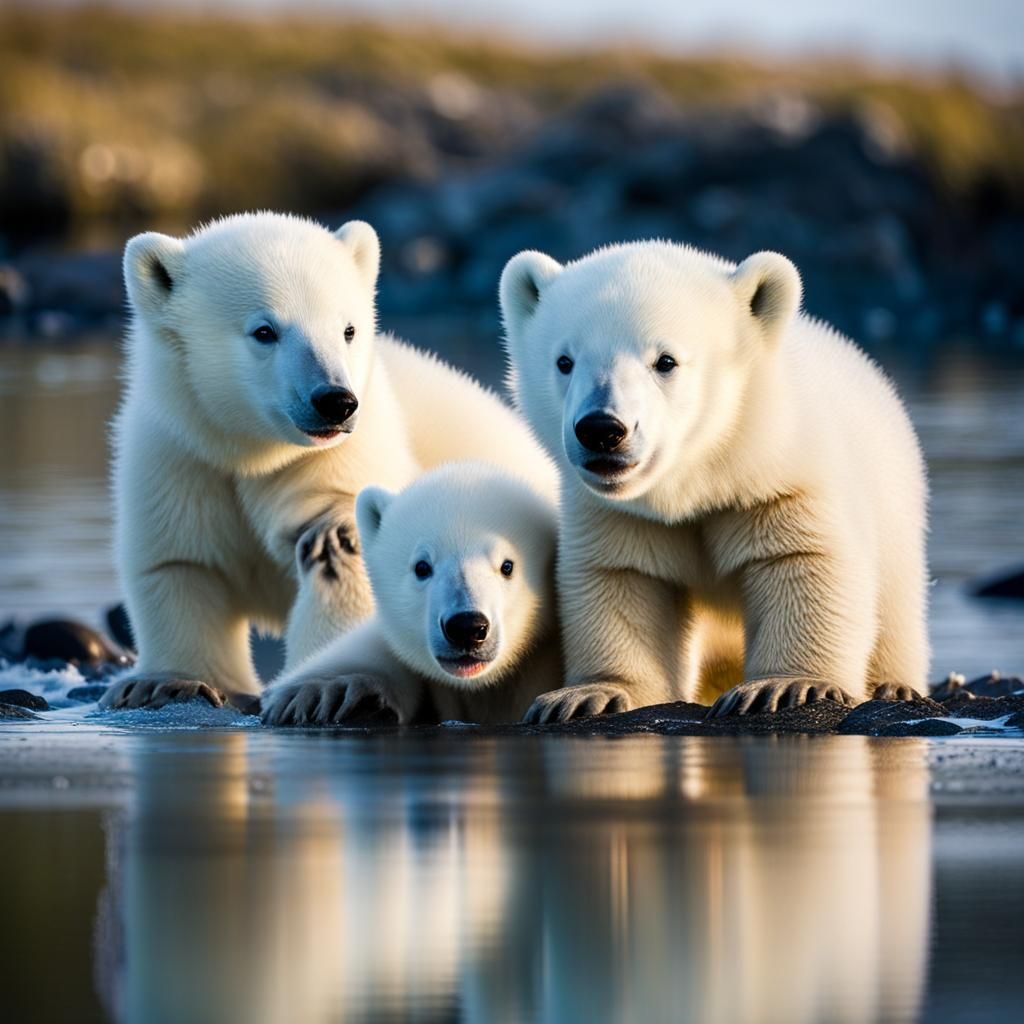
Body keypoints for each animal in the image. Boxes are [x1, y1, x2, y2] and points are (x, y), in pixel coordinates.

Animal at [499, 240, 929, 722]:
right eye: (564, 361)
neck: (709, 476)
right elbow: (623, 576)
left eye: (666, 361)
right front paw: (595, 692)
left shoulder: (782, 485)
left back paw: (894, 685)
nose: (602, 429)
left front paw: (786, 685)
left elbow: (804, 560)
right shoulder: (620, 514)